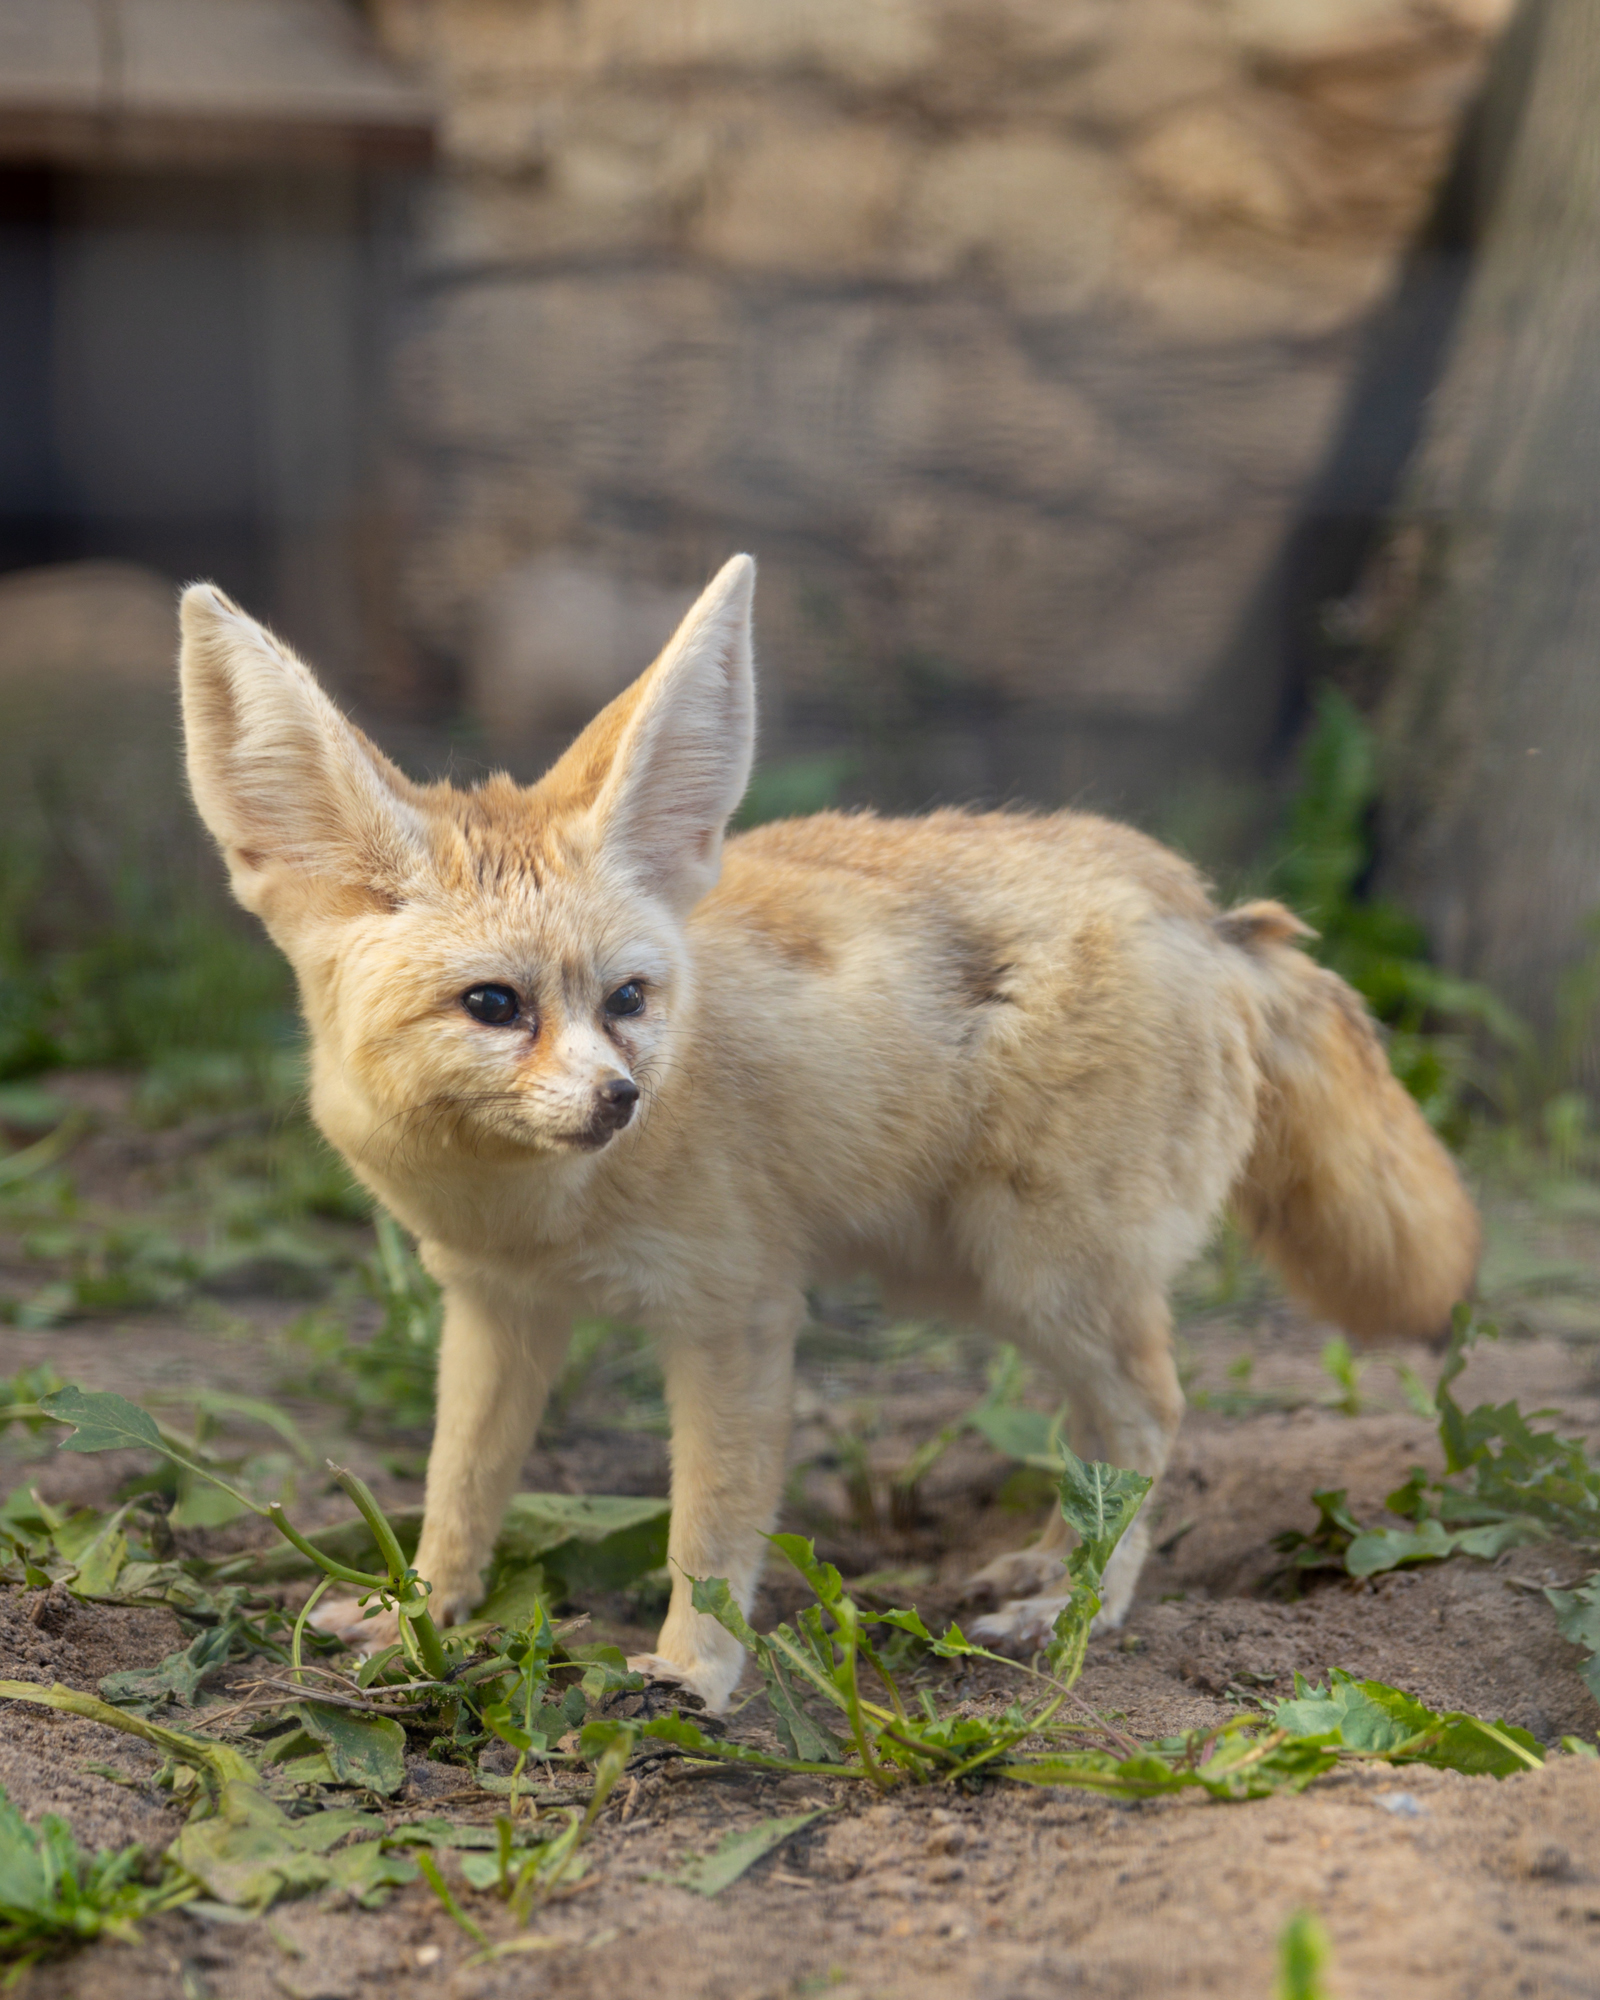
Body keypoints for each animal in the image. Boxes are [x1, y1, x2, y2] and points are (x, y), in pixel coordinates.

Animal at [181, 560, 1480, 1704]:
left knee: (1153, 1419)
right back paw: (1044, 1556)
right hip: (990, 1279)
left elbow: (711, 1532)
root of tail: (1207, 909)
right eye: (494, 1005)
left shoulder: (737, 1316)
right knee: (1106, 1437)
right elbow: (460, 1486)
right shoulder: (495, 1307)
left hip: (1041, 1273)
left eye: (628, 999)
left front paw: (693, 1673)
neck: (535, 1209)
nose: (619, 1099)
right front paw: (423, 1612)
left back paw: (1075, 1606)